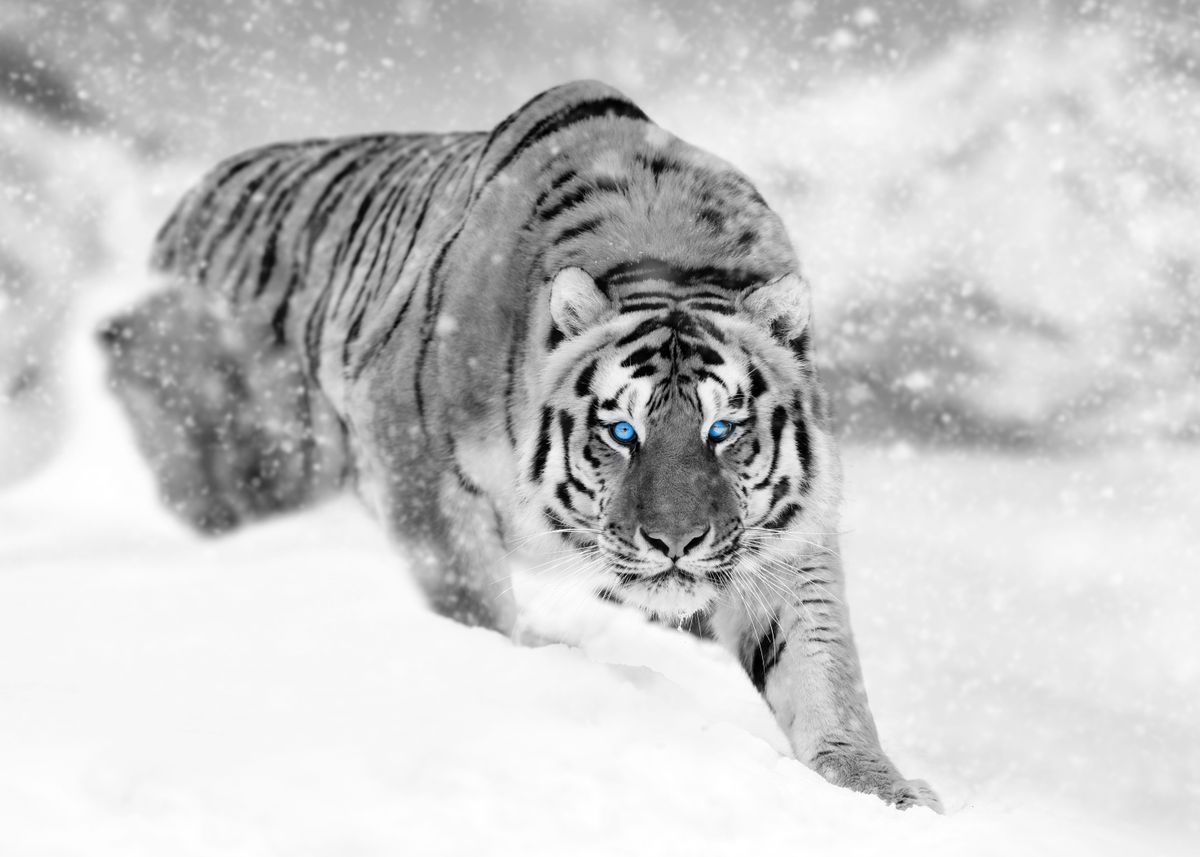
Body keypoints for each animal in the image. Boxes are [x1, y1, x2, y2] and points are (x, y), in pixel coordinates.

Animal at [100, 80, 941, 812]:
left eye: (722, 429)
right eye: (622, 431)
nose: (674, 543)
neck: (665, 253)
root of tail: (185, 207)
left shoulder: (785, 529)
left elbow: (818, 659)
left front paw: (881, 787)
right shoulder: (416, 458)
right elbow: (468, 596)